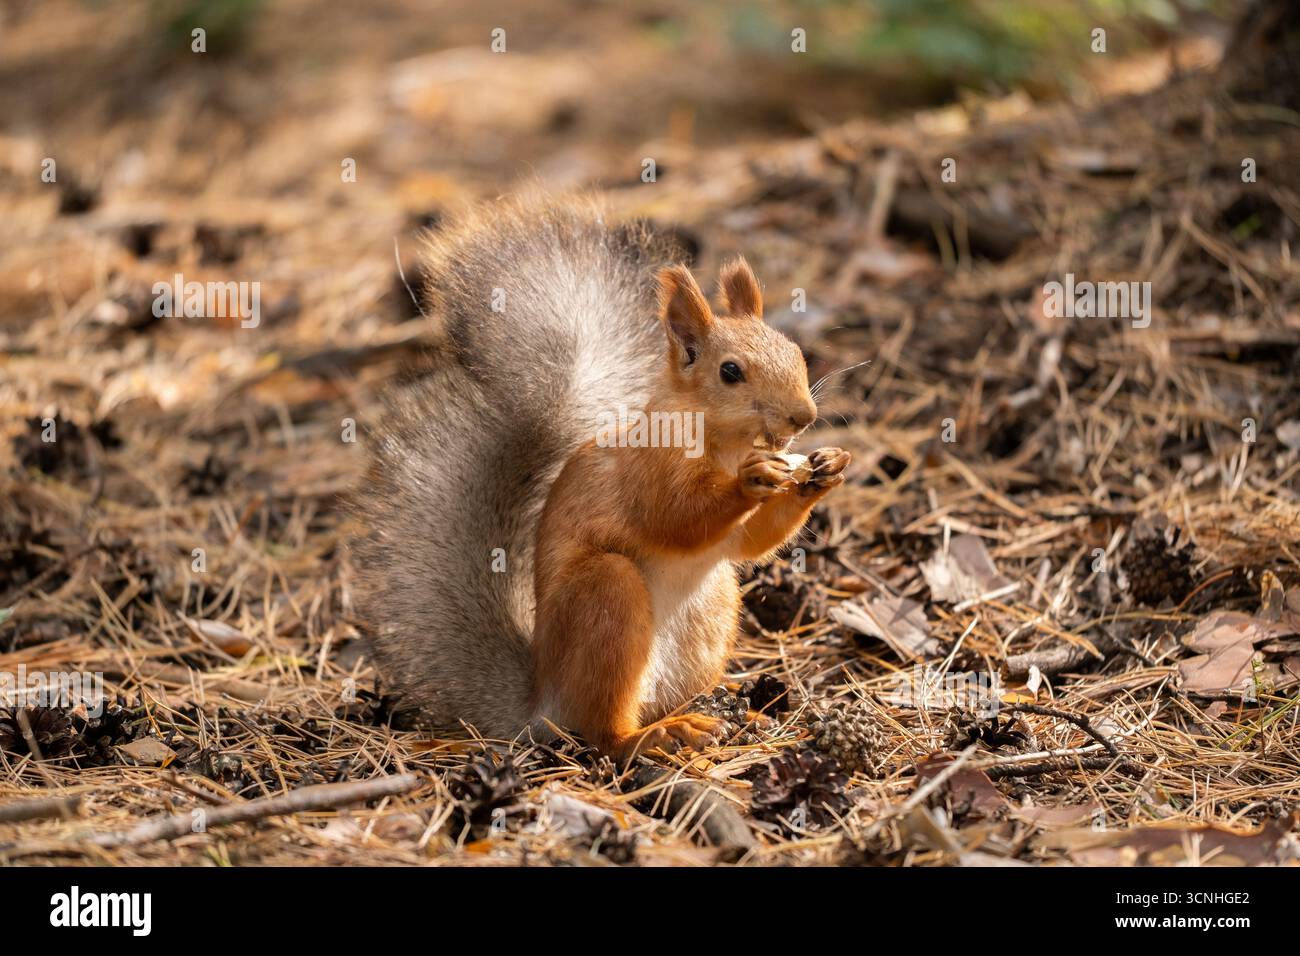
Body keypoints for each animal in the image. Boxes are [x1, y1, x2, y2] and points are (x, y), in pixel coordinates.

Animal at [354, 195, 850, 759]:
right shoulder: (647, 468)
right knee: (603, 729)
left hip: (714, 607)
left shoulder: (733, 538)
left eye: (795, 351)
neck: (727, 446)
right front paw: (750, 480)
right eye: (730, 372)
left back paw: (728, 712)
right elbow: (675, 517)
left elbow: (750, 542)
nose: (804, 417)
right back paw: (654, 734)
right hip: (605, 596)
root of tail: (543, 700)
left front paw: (824, 470)